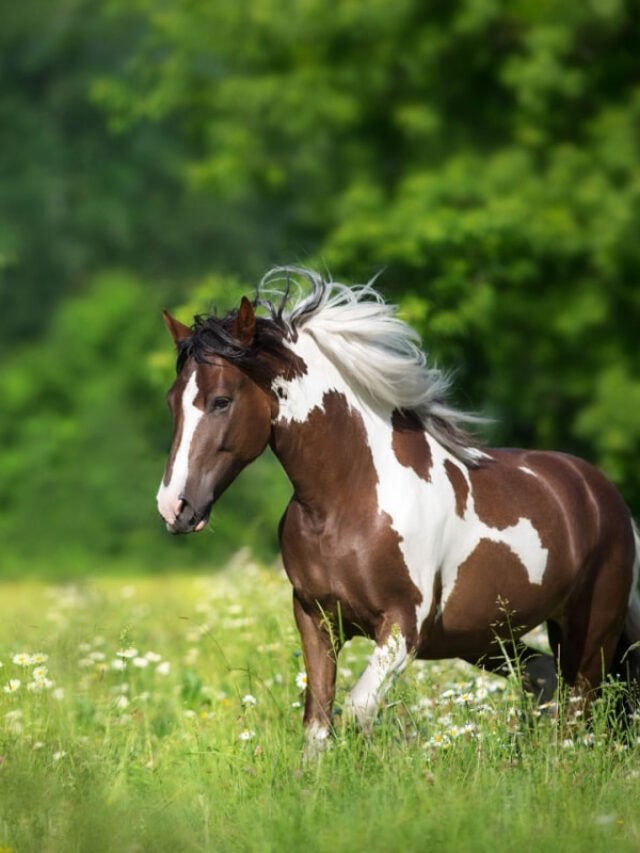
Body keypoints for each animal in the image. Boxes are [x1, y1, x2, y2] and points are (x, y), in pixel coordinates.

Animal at [157, 266, 640, 758]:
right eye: (173, 401)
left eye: (221, 400)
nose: (174, 507)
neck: (346, 504)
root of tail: (603, 495)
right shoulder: (315, 619)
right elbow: (318, 724)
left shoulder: (403, 625)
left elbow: (357, 711)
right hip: (487, 637)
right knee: (546, 682)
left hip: (591, 634)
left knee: (579, 712)